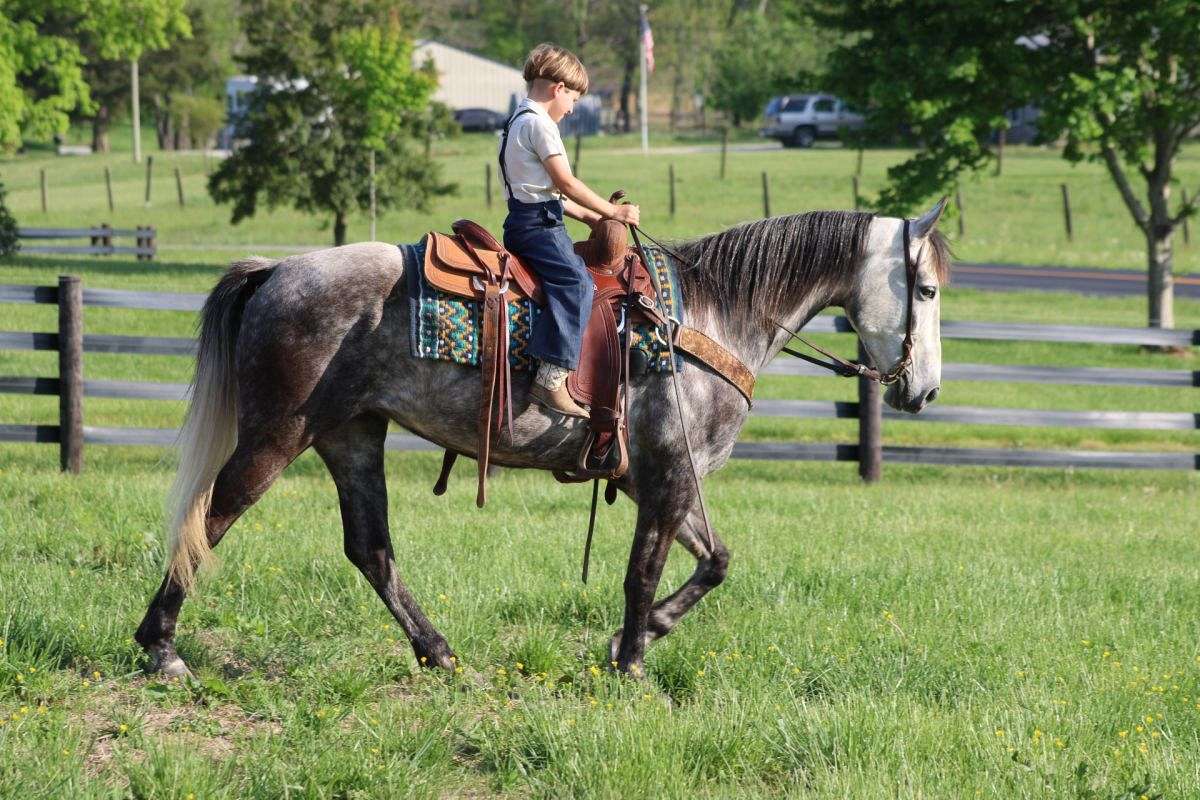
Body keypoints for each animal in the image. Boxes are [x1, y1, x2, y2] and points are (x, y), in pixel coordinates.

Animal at [133, 200, 951, 679]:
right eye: (928, 289)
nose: (924, 391)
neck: (710, 316)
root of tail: (277, 269)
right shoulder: (666, 472)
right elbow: (643, 573)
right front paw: (631, 662)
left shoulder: (664, 478)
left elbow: (715, 562)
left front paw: (636, 640)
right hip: (278, 435)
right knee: (208, 520)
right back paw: (162, 648)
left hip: (351, 436)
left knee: (370, 549)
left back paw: (437, 650)